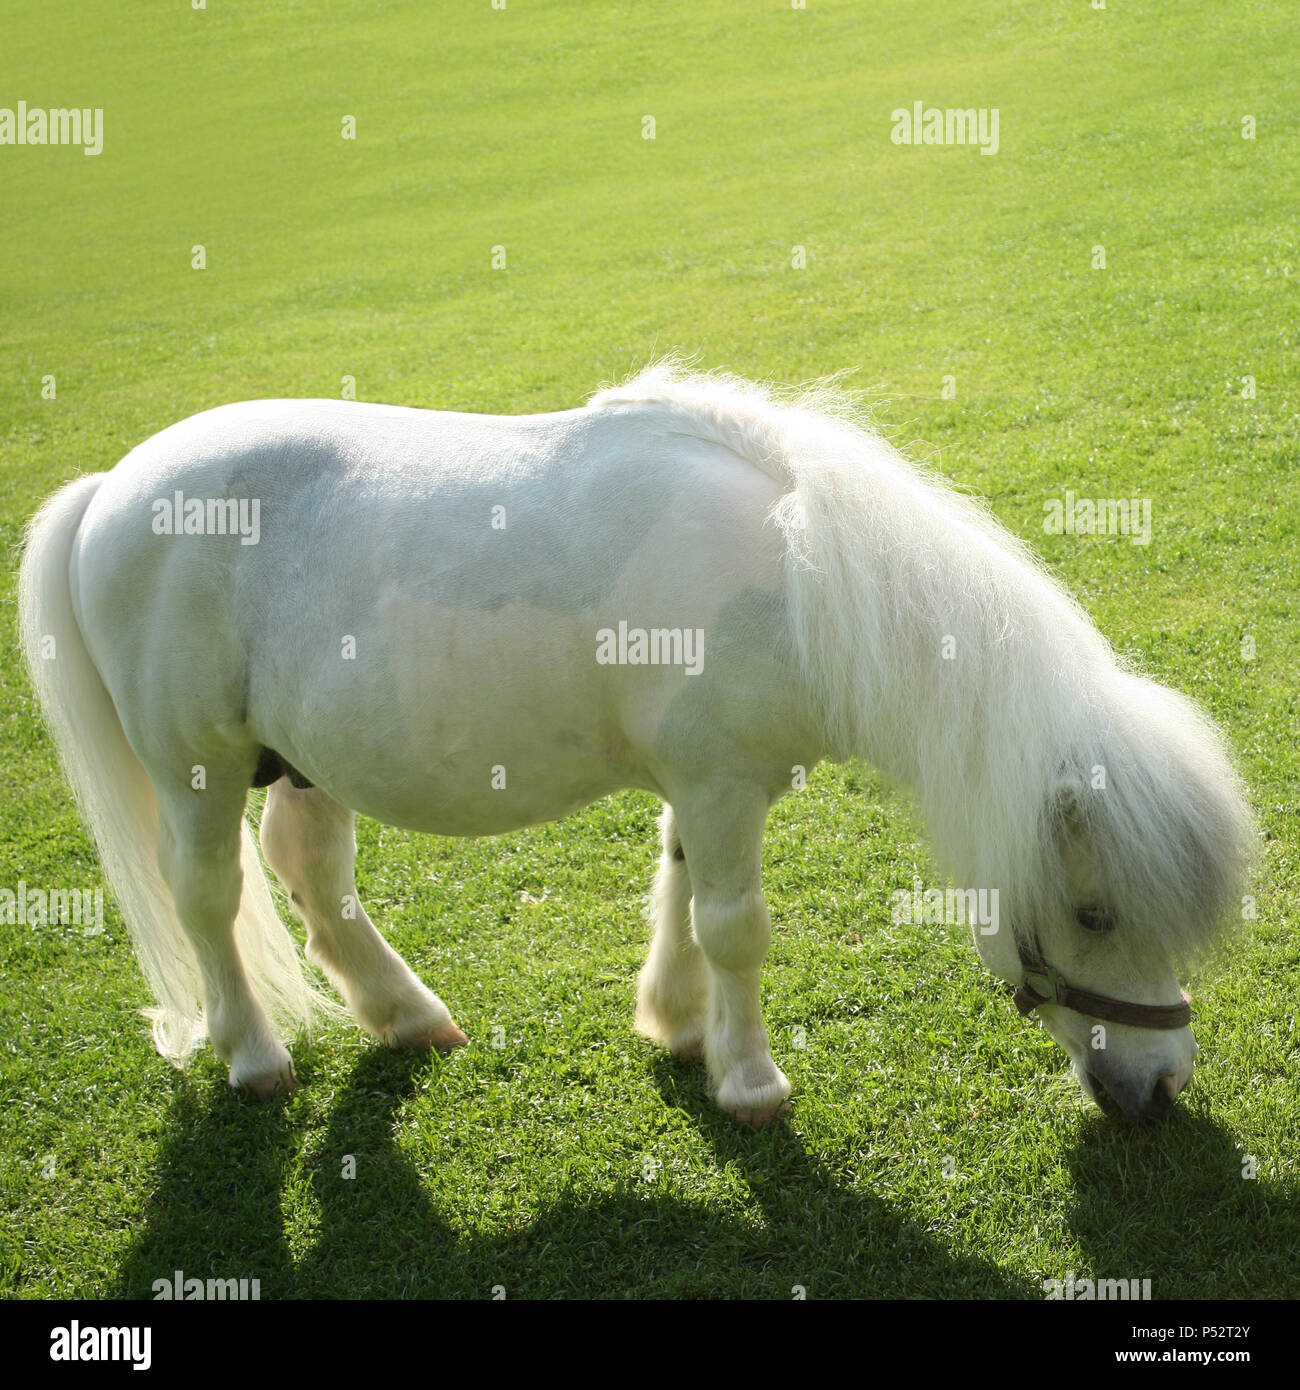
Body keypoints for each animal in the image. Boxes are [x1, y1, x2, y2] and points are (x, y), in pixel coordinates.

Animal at [17, 361, 1255, 1124]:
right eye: (1093, 913)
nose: (1161, 1087)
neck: (798, 577)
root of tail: (113, 487)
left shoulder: (700, 787)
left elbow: (680, 897)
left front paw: (677, 1025)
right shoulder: (720, 786)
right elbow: (735, 926)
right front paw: (749, 1081)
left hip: (304, 764)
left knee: (315, 882)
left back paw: (406, 1014)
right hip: (196, 769)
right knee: (207, 897)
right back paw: (253, 1054)